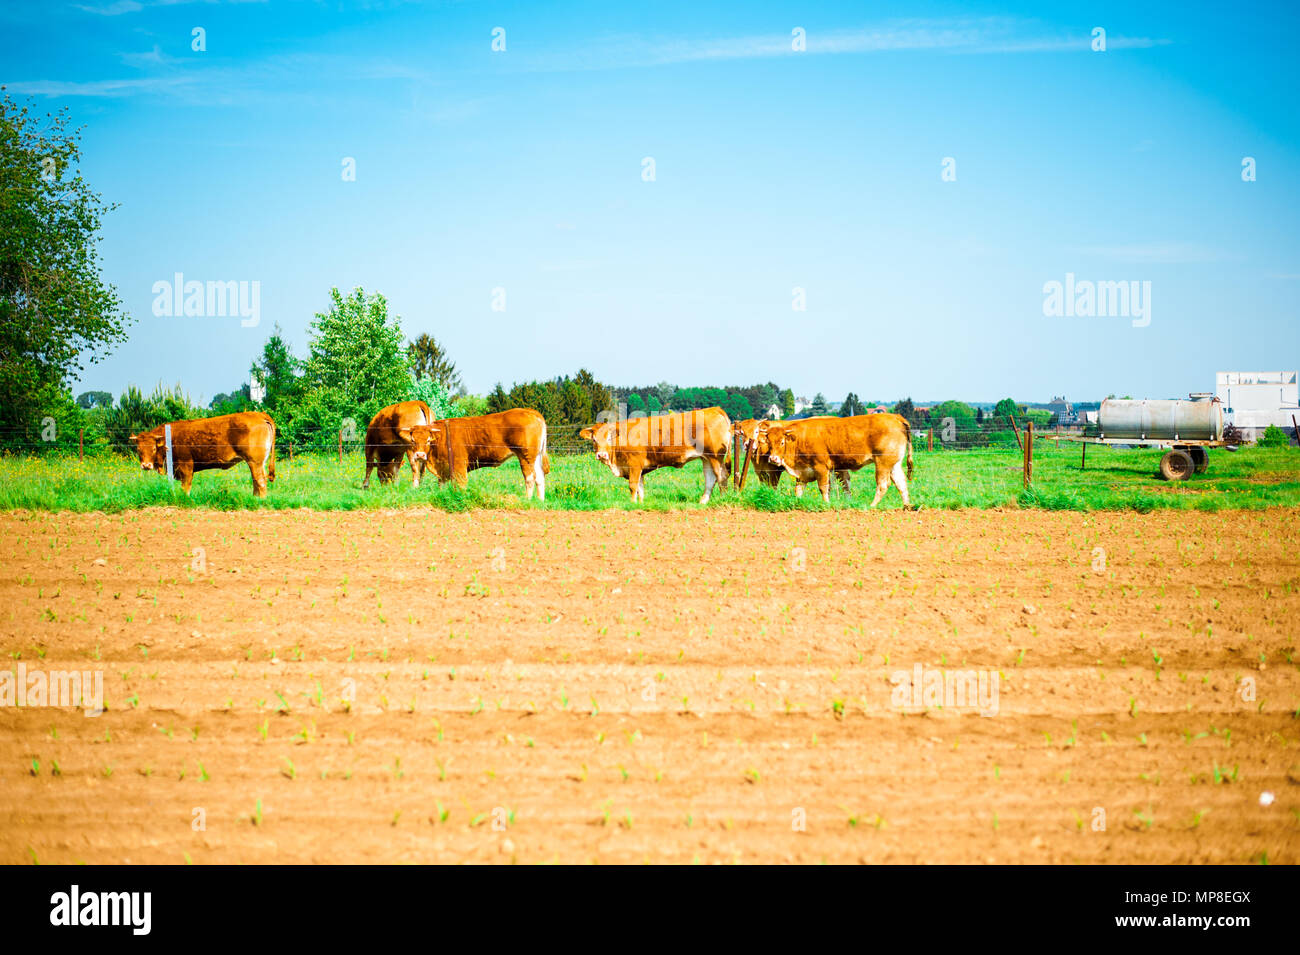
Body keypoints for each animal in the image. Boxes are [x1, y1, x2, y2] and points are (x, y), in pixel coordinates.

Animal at [129, 411, 277, 497]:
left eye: (154, 449)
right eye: (138, 449)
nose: (146, 465)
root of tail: (259, 414)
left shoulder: (186, 466)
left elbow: (185, 487)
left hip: (254, 462)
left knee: (260, 481)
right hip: (258, 463)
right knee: (257, 481)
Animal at [579, 407, 732, 503]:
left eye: (609, 438)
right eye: (594, 440)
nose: (602, 455)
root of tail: (714, 409)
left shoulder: (635, 465)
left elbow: (633, 486)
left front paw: (631, 504)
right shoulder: (639, 469)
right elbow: (640, 489)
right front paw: (640, 504)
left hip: (715, 456)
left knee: (722, 476)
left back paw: (723, 498)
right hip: (706, 458)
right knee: (710, 479)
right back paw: (703, 501)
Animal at [752, 413, 914, 506]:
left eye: (782, 442)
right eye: (769, 442)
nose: (773, 459)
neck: (800, 438)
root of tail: (895, 417)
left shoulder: (821, 468)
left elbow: (824, 488)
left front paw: (826, 504)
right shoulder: (803, 472)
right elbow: (798, 489)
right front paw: (797, 503)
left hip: (882, 463)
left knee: (883, 485)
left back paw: (871, 506)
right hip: (894, 464)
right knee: (901, 483)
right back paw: (906, 506)